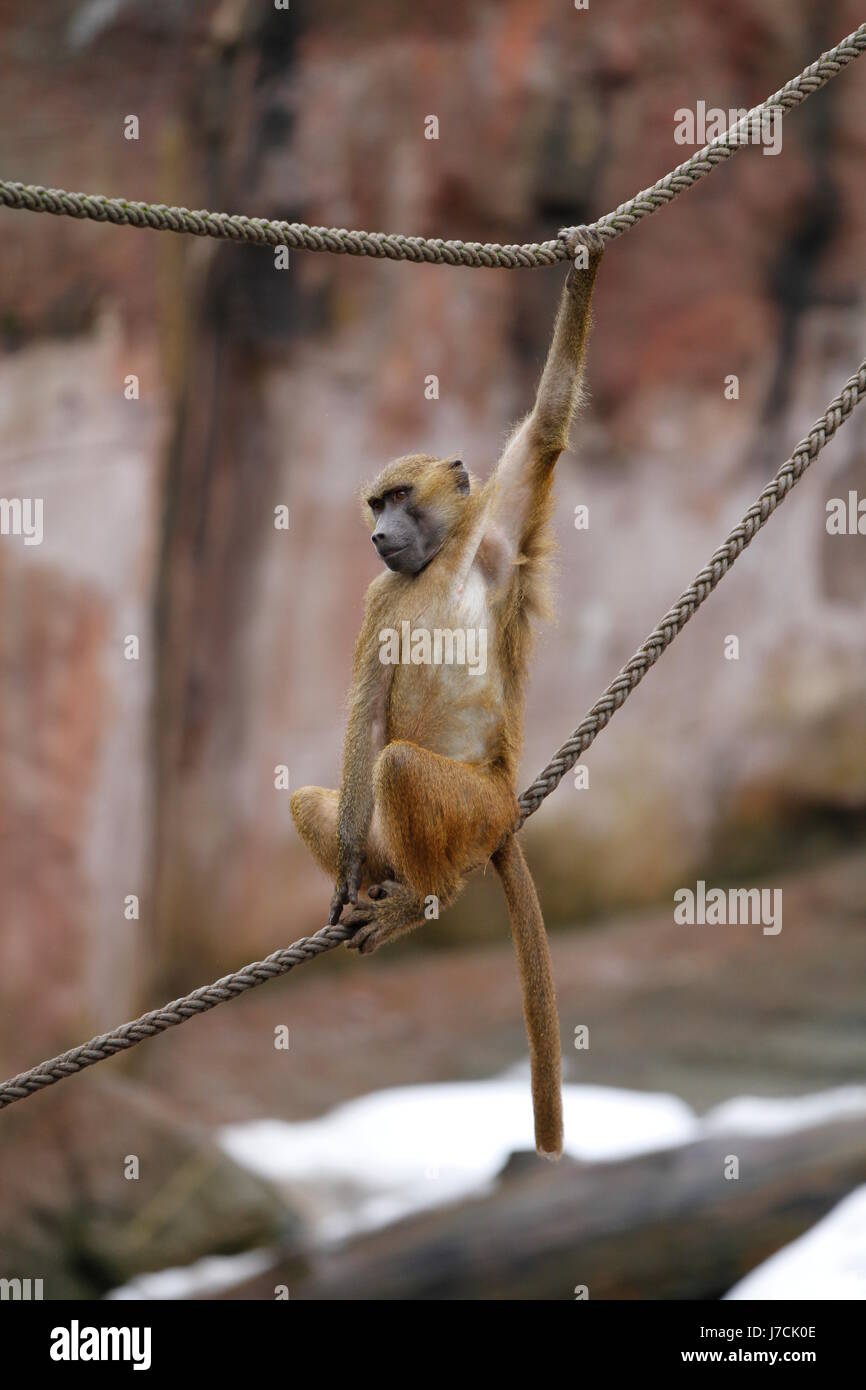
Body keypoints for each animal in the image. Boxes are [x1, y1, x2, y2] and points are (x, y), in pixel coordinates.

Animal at [290, 226, 604, 1158]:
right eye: (376, 504)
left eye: (401, 497)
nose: (377, 534)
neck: (433, 563)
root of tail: (502, 802)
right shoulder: (378, 596)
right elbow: (364, 708)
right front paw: (343, 878)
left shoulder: (499, 539)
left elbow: (546, 425)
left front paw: (582, 261)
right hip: (417, 830)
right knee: (338, 790)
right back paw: (384, 897)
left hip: (471, 804)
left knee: (401, 768)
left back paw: (424, 902)